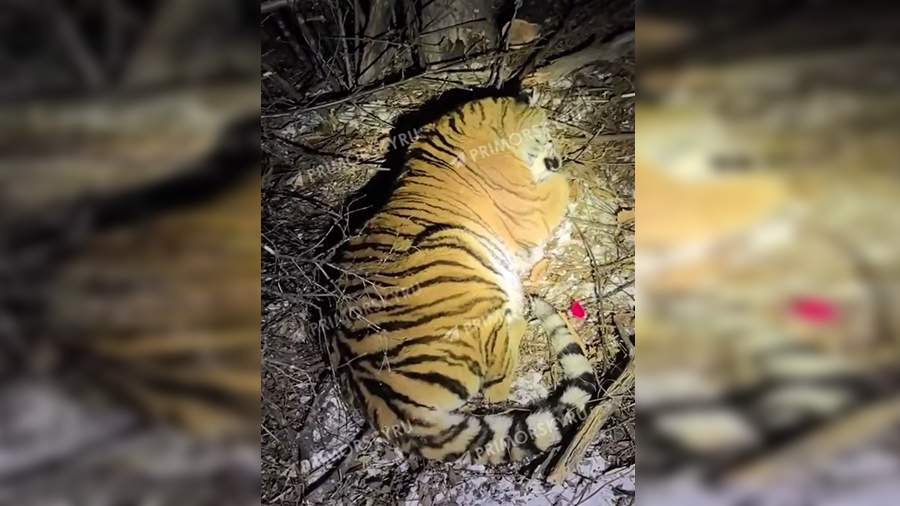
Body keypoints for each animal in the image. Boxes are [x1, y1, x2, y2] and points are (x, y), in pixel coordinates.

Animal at [326, 96, 600, 463]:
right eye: (548, 136)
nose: (555, 157)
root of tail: (383, 403)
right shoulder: (531, 211)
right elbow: (559, 186)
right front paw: (573, 174)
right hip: (457, 245)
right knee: (496, 384)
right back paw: (521, 309)